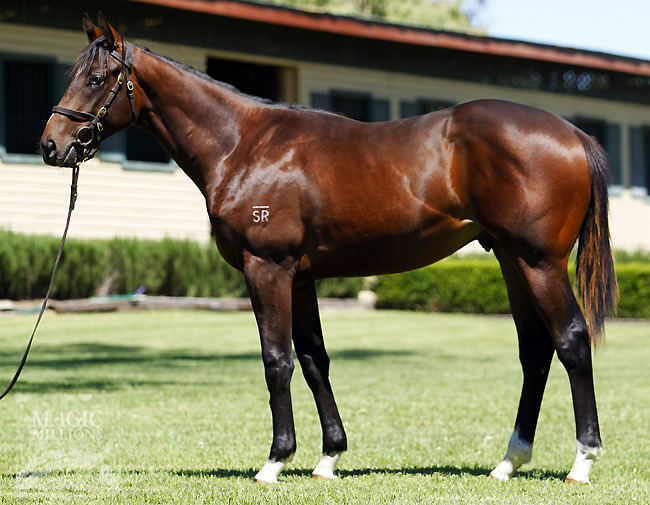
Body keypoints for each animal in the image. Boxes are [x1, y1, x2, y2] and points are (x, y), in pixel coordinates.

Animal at [40, 13, 618, 484]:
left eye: (96, 79)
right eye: (72, 74)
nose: (50, 145)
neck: (243, 144)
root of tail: (573, 134)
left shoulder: (267, 269)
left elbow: (277, 360)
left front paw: (275, 461)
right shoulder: (300, 278)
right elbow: (315, 359)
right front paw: (328, 458)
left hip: (539, 263)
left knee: (571, 341)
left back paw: (582, 462)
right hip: (511, 260)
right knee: (535, 351)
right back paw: (508, 462)